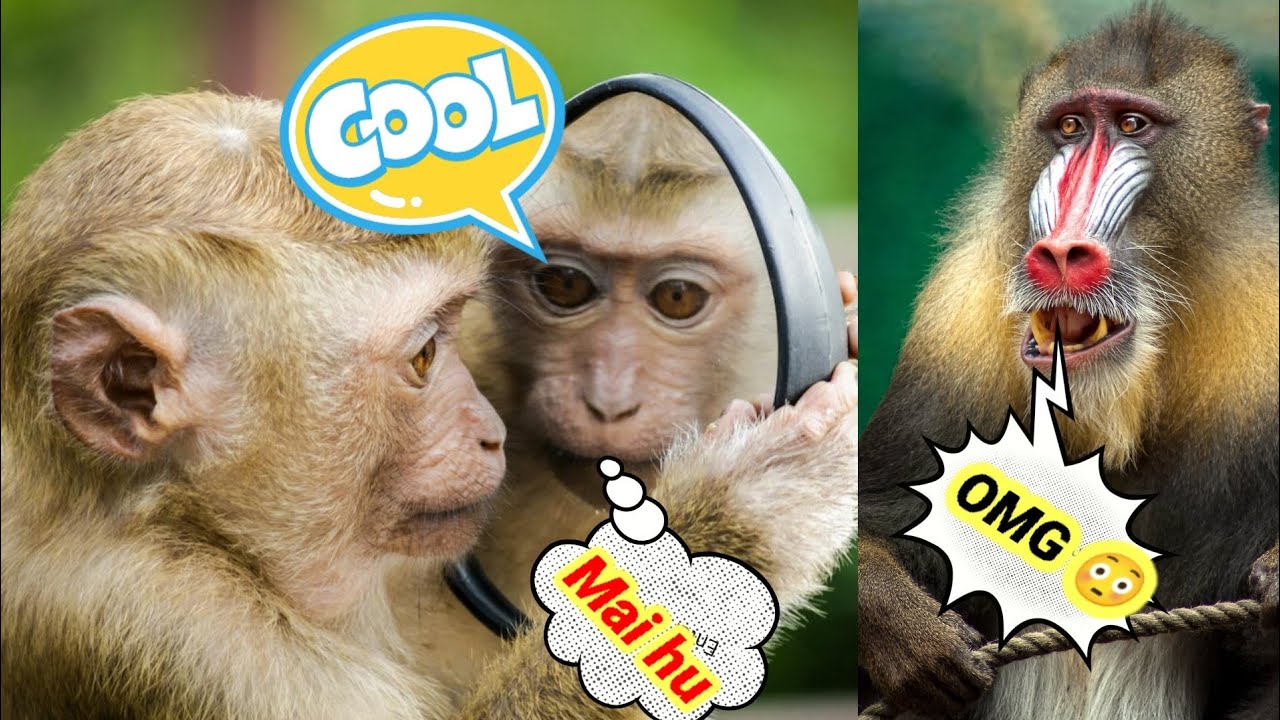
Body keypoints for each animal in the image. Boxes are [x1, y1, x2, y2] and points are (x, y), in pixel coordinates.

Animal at [1, 90, 859, 719]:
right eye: (421, 356)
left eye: (454, 329)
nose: (489, 431)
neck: (176, 520)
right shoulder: (189, 638)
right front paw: (752, 503)